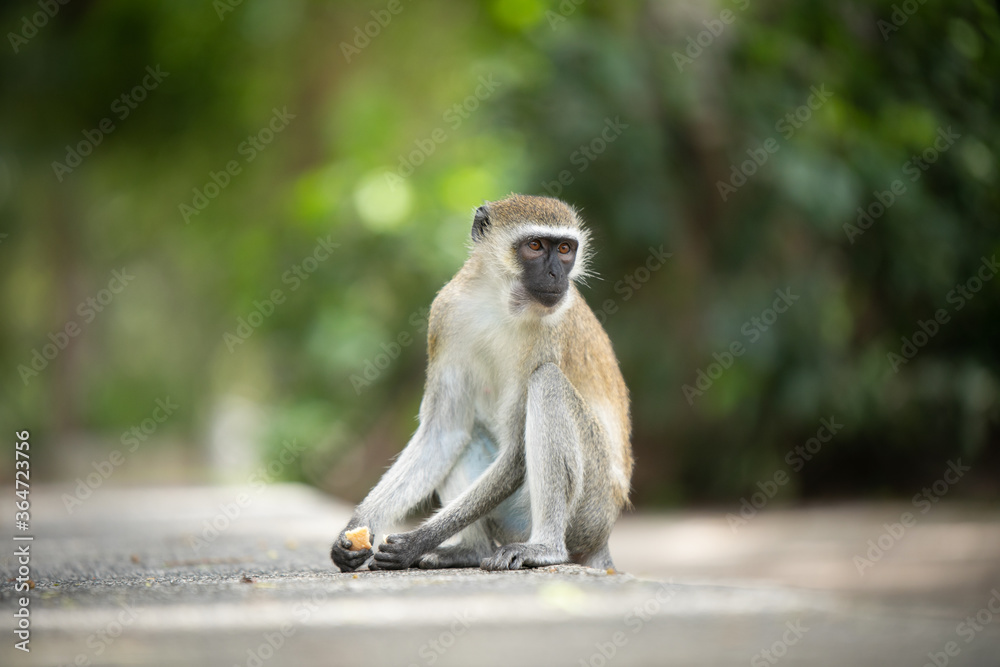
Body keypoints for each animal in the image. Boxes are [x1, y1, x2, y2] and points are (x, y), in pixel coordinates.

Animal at [330, 193, 632, 572]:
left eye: (565, 249)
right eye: (535, 246)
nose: (556, 274)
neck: (501, 301)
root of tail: (604, 535)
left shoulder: (550, 333)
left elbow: (515, 453)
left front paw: (416, 540)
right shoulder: (445, 314)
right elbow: (443, 434)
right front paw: (356, 529)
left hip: (590, 510)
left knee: (548, 382)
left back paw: (545, 548)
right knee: (463, 435)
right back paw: (469, 550)